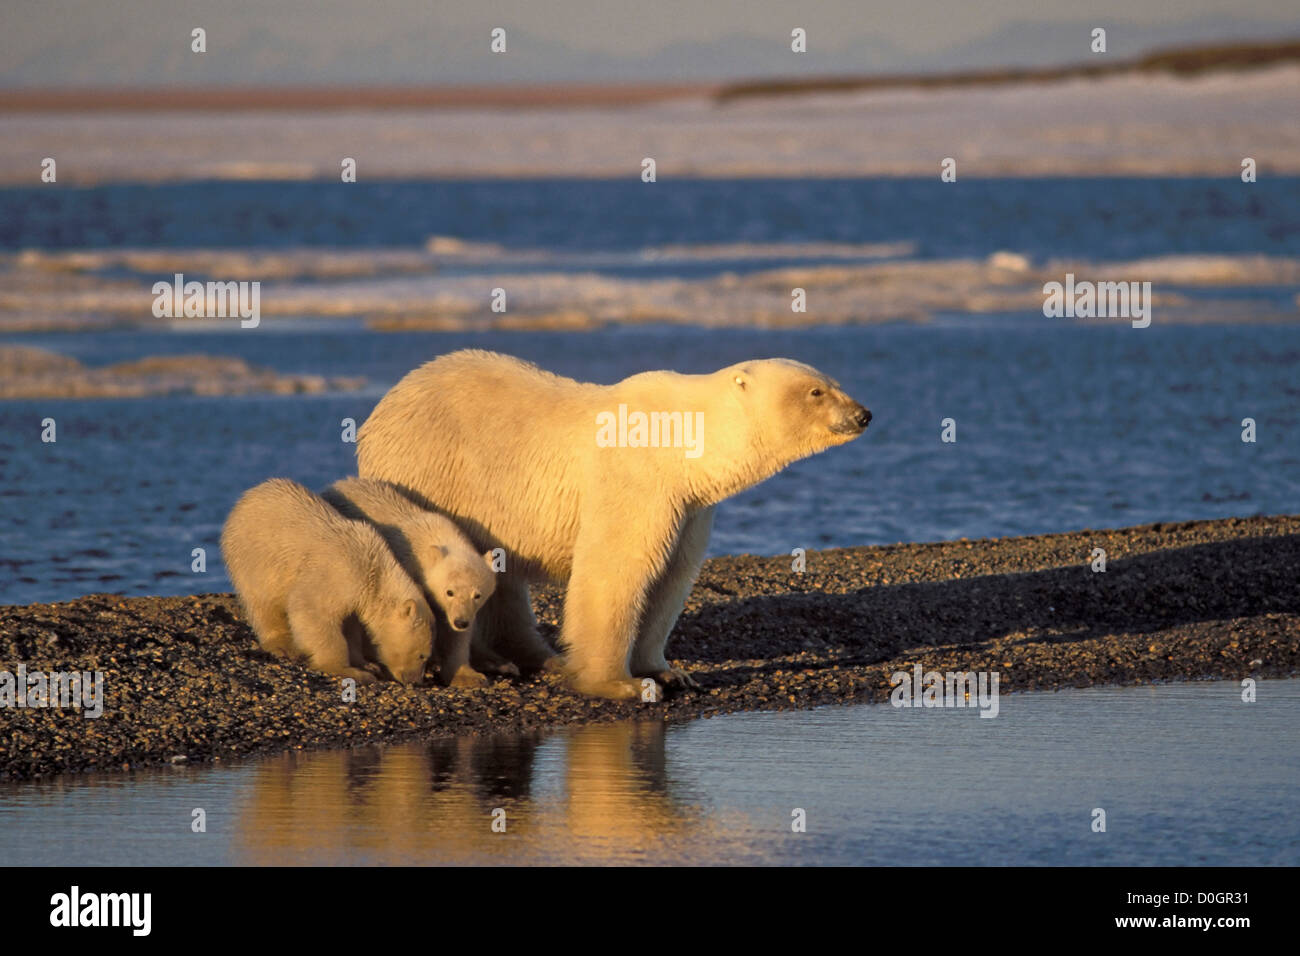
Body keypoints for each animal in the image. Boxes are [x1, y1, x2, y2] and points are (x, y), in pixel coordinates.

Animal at [220, 477, 434, 686]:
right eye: (422, 655)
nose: (415, 681)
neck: (373, 569)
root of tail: (245, 498)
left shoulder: (356, 595)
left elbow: (350, 627)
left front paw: (366, 665)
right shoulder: (338, 573)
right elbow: (312, 611)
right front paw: (349, 670)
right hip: (255, 558)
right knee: (264, 604)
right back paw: (283, 646)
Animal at [357, 349, 871, 700]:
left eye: (835, 381)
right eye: (815, 391)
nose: (864, 414)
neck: (681, 438)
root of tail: (385, 405)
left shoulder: (688, 505)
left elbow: (670, 580)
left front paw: (667, 670)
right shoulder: (635, 476)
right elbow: (616, 568)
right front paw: (620, 685)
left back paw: (537, 659)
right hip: (432, 473)